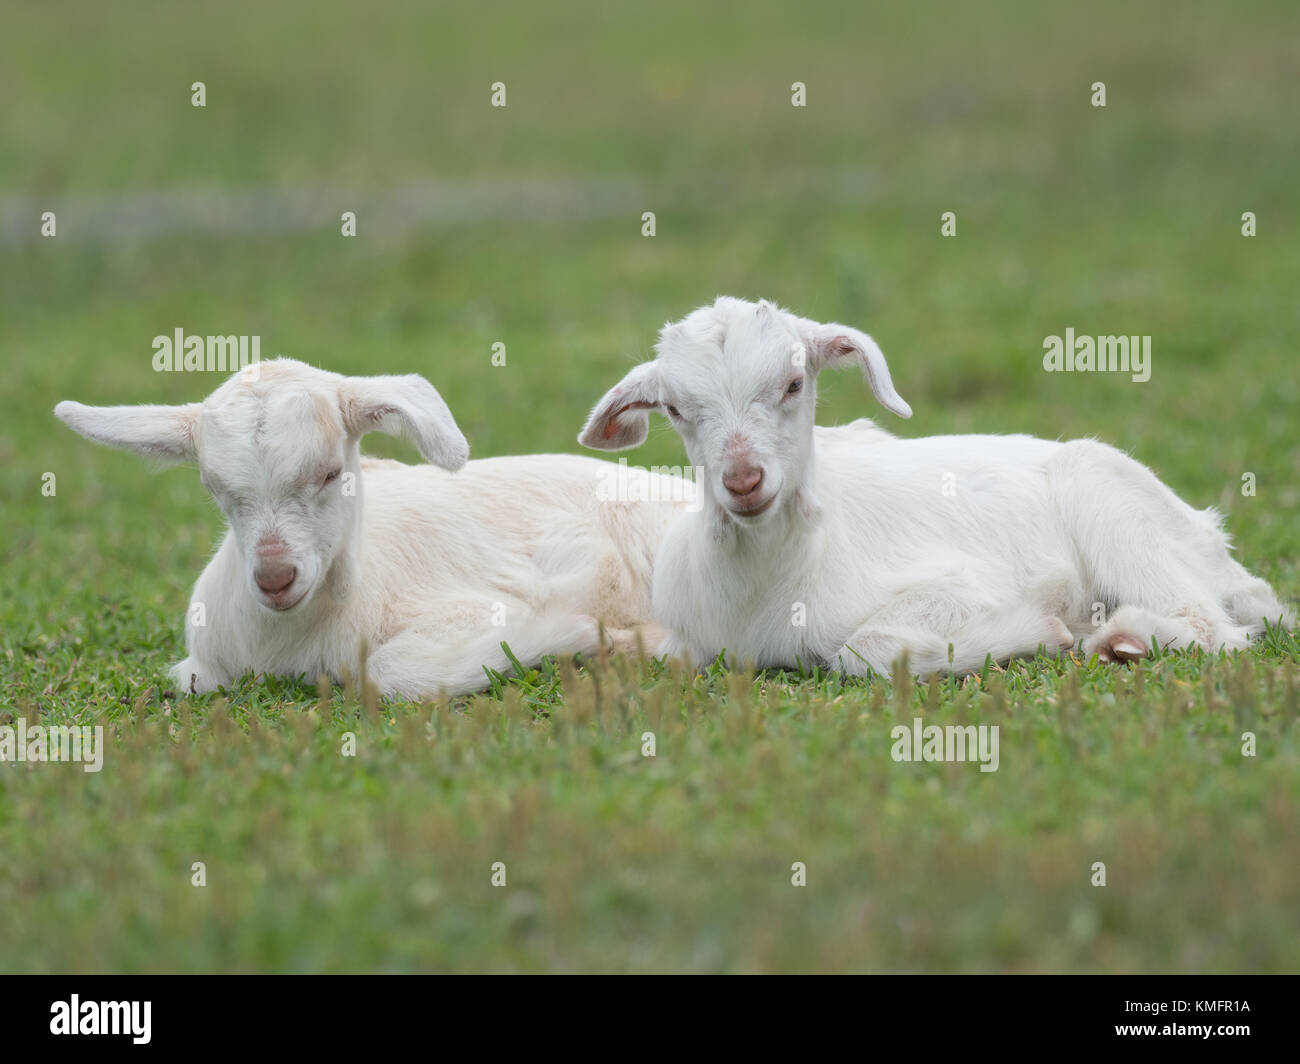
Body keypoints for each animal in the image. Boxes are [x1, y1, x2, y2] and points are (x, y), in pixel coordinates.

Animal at [56, 359, 687, 697]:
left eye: (331, 472)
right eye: (216, 490)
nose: (275, 577)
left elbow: (389, 670)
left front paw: (582, 638)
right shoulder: (203, 668)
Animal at [579, 297, 1292, 676]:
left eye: (793, 384)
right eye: (675, 409)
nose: (743, 480)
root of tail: (1212, 542)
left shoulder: (956, 586)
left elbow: (863, 649)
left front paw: (1036, 631)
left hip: (1116, 511)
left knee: (1213, 626)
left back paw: (1123, 638)